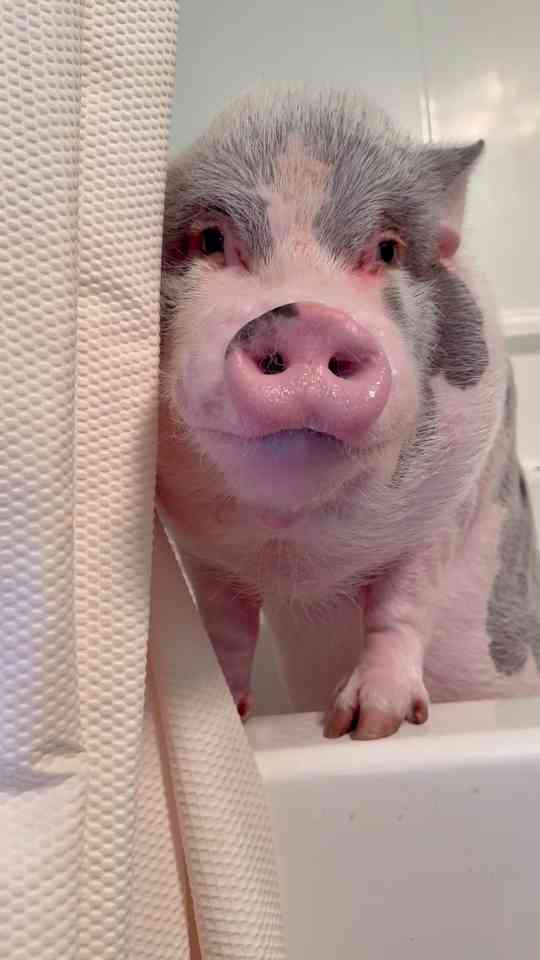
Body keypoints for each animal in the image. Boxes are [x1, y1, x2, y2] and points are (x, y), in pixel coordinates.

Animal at [157, 86, 540, 740]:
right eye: (210, 240)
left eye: (386, 249)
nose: (308, 318)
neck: (301, 561)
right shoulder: (200, 550)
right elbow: (225, 625)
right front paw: (234, 718)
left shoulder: (455, 495)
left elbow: (402, 602)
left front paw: (367, 726)